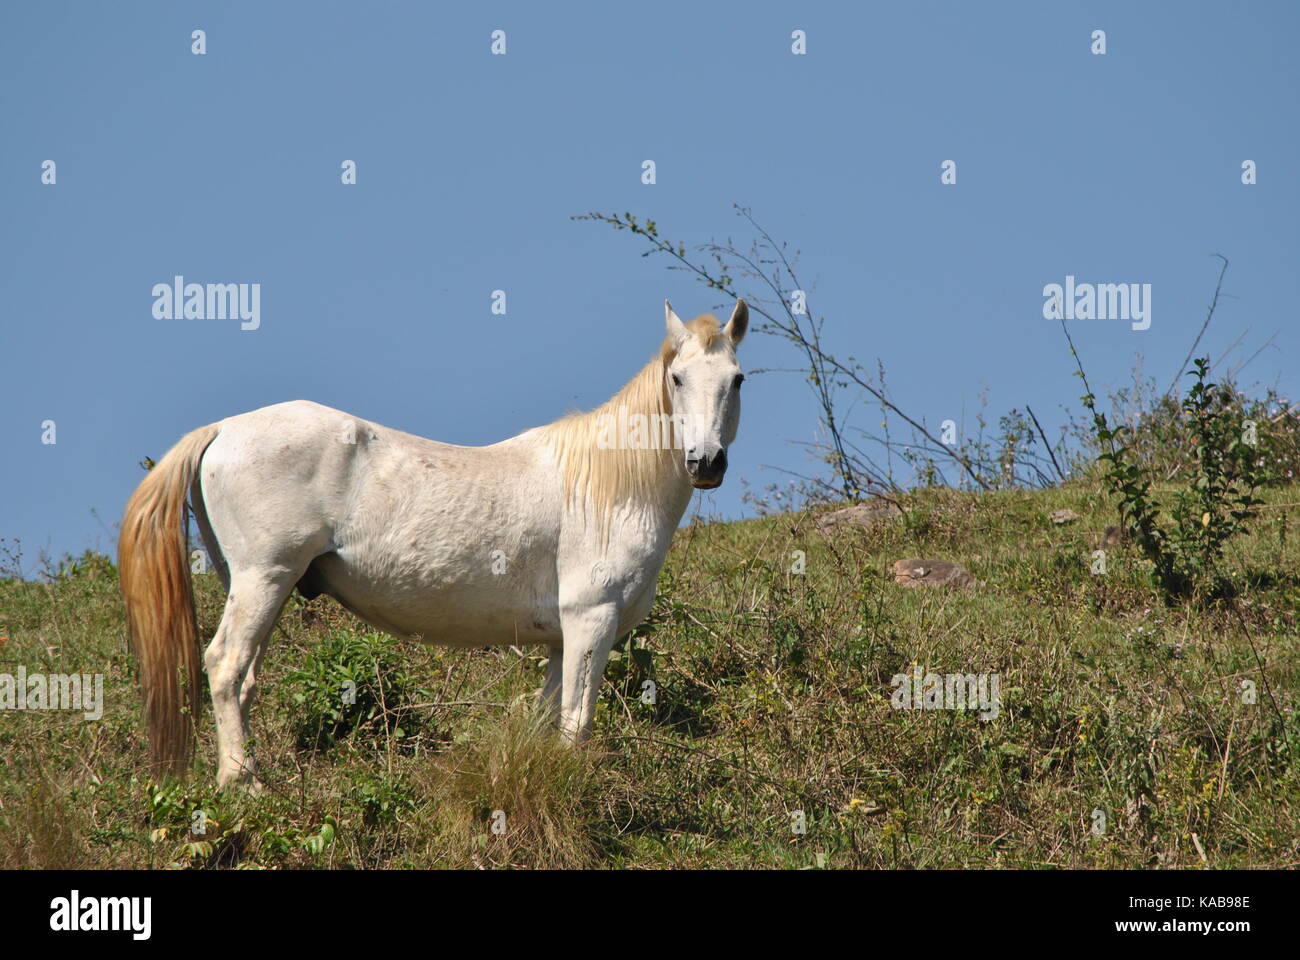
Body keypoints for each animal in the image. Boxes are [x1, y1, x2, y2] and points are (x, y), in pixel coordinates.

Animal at [119, 299, 748, 787]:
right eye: (677, 379)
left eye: (737, 379)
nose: (706, 463)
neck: (605, 485)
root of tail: (223, 429)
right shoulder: (590, 620)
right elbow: (576, 722)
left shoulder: (559, 640)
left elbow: (546, 718)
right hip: (264, 576)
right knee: (225, 666)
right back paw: (241, 782)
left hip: (251, 583)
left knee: (243, 678)